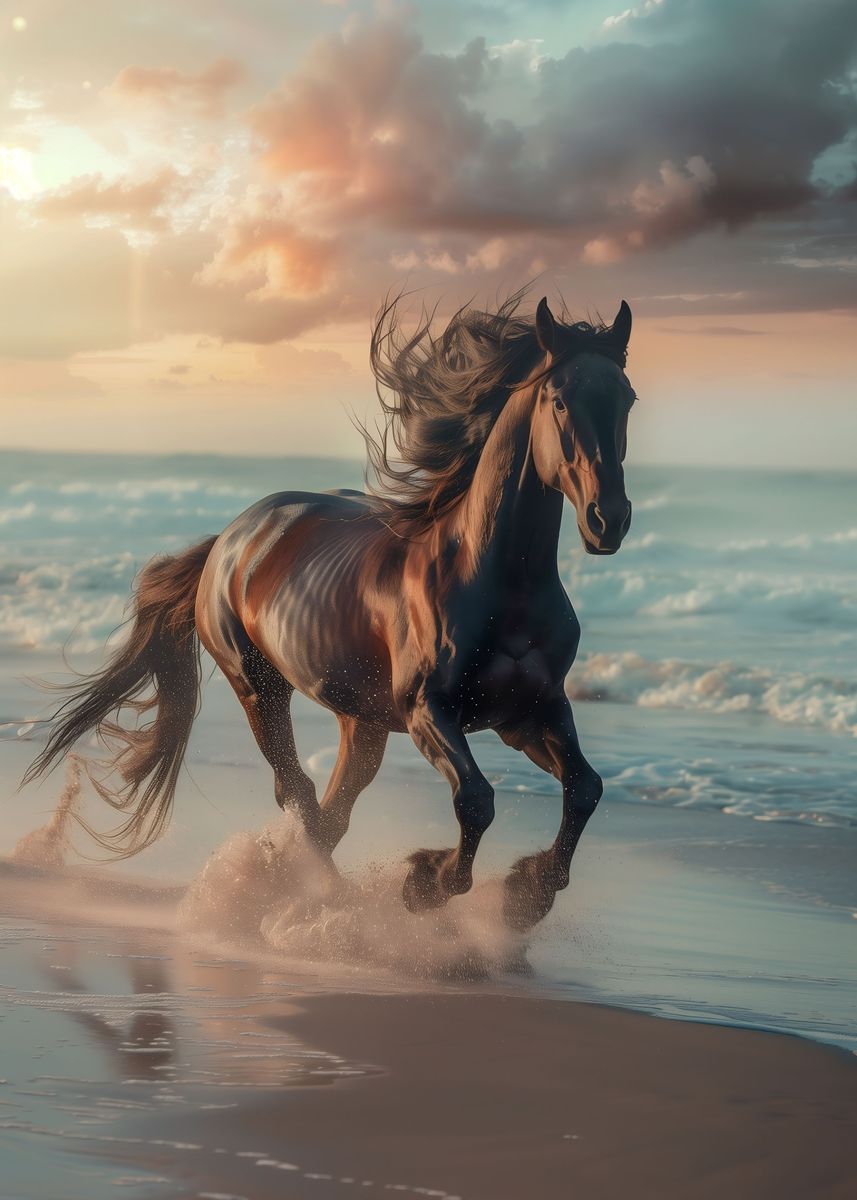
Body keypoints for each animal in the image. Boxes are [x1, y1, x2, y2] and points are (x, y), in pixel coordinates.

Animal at [24, 292, 636, 931]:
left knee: (330, 806)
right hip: (259, 688)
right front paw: (426, 883)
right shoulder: (428, 712)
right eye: (559, 399)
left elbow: (585, 787)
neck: (495, 584)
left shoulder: (530, 711)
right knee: (298, 792)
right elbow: (476, 799)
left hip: (361, 719)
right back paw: (318, 902)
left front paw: (526, 893)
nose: (609, 519)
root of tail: (230, 539)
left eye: (627, 398)